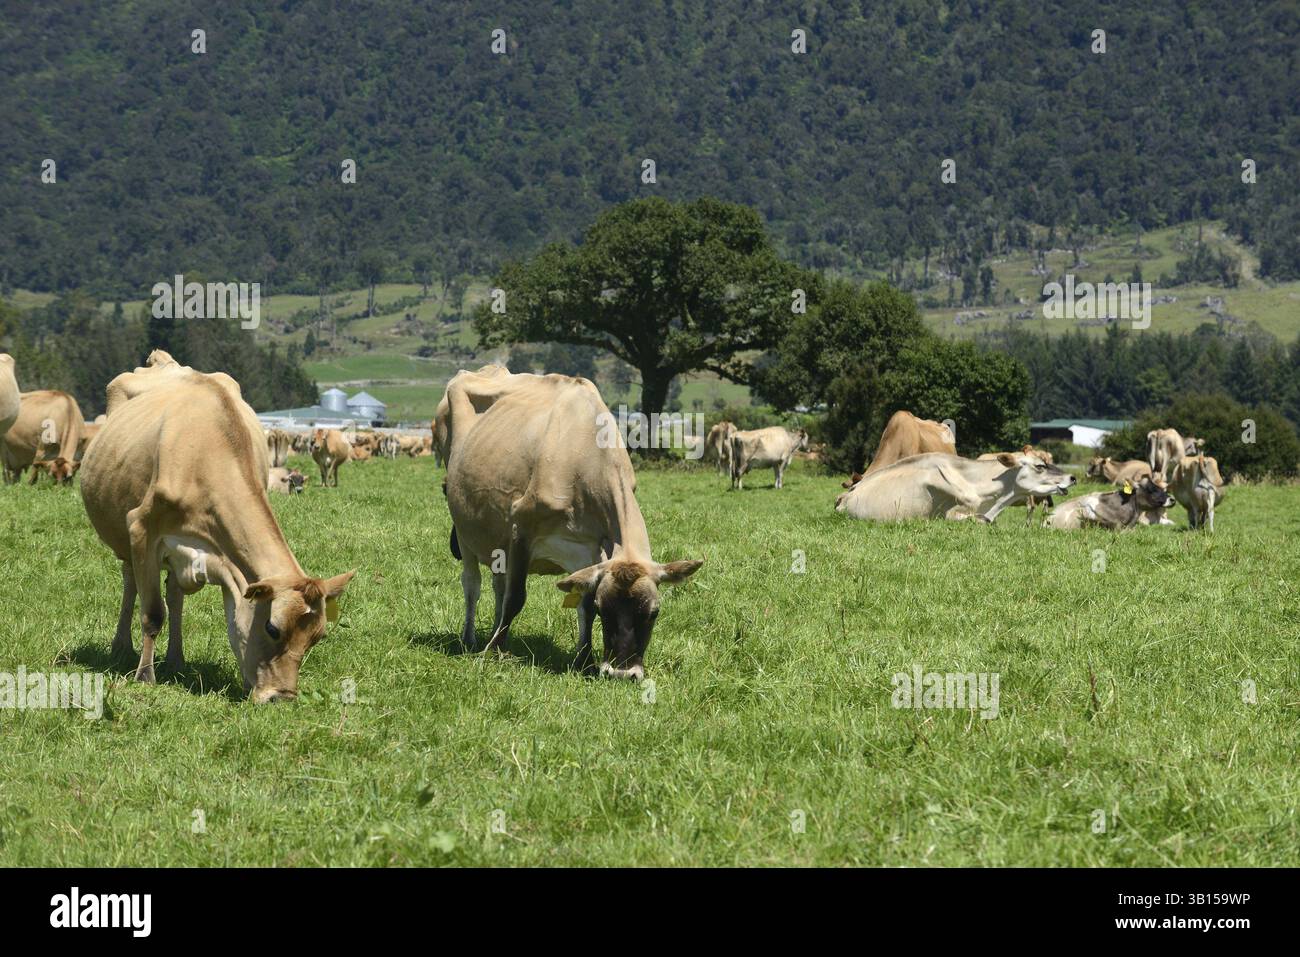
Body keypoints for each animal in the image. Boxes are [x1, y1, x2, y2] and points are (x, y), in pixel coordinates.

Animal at [80, 360, 355, 701]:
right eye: (272, 629)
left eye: (317, 637)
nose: (282, 697)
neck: (206, 451)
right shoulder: (141, 529)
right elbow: (153, 613)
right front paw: (145, 676)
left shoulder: (225, 560)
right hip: (124, 537)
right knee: (131, 581)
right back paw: (122, 647)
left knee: (174, 595)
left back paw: (176, 659)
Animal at [441, 368, 703, 680]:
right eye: (605, 610)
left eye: (654, 612)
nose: (622, 673)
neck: (581, 458)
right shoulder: (520, 529)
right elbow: (516, 597)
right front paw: (493, 652)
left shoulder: (591, 548)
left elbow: (581, 605)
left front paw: (585, 659)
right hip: (464, 528)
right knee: (472, 583)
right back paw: (471, 639)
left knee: (498, 585)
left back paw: (494, 631)